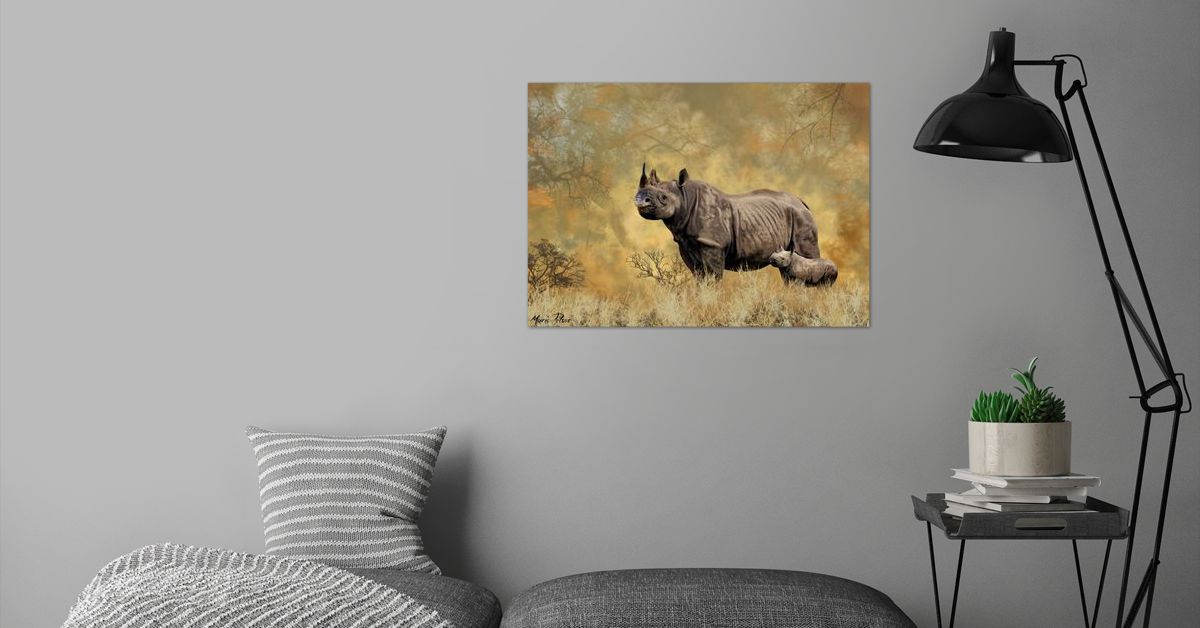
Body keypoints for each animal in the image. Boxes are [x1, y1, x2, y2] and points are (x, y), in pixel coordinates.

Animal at [634, 164, 822, 281]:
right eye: (639, 191)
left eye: (663, 197)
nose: (640, 199)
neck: (685, 198)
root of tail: (801, 202)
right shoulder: (686, 245)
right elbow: (699, 278)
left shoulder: (713, 244)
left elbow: (713, 278)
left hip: (801, 218)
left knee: (806, 256)